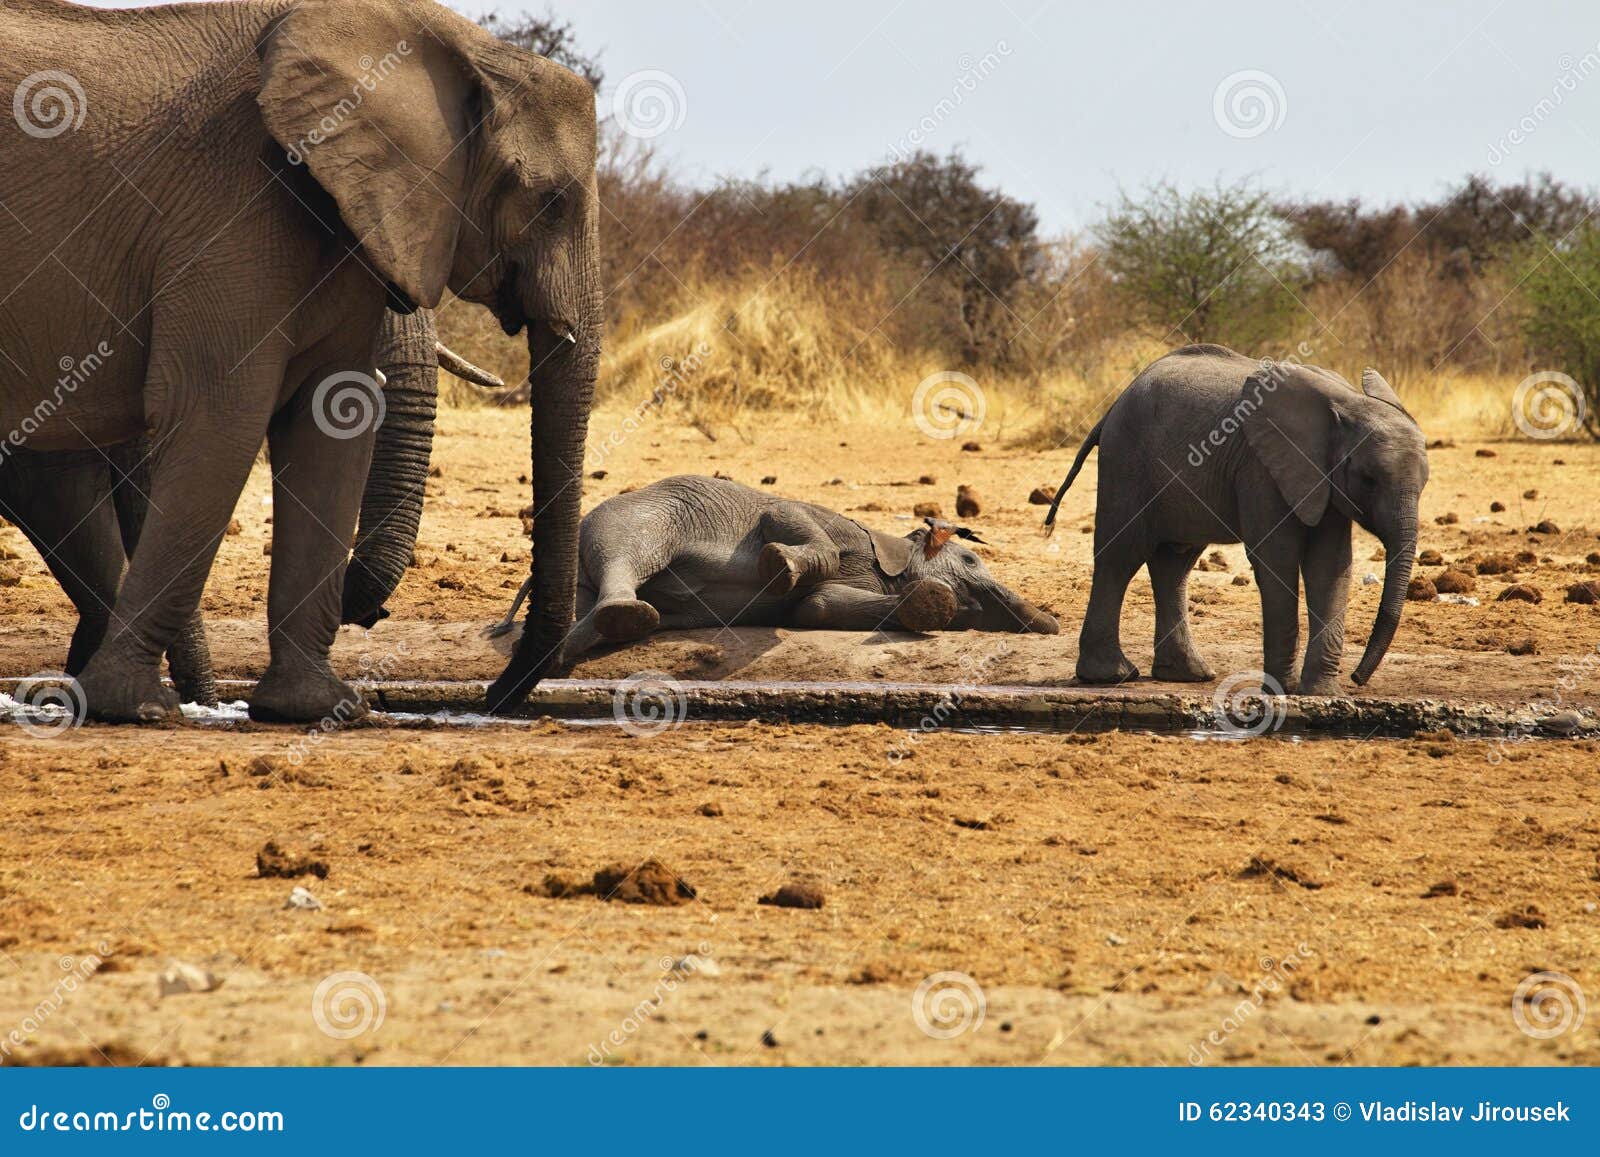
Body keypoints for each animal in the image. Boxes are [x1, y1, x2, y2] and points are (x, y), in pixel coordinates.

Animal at [1, 0, 601, 722]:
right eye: (551, 202)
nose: (494, 696)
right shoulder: (229, 208)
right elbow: (219, 416)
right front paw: (137, 707)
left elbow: (331, 417)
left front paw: (317, 709)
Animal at [488, 475, 1060, 663]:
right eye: (971, 558)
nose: (1052, 622)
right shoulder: (821, 520)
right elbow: (788, 522)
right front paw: (777, 564)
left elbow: (817, 605)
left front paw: (944, 606)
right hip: (635, 515)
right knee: (631, 552)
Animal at [1043, 344, 1428, 696]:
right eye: (1369, 479)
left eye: (1425, 483)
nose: (1358, 678)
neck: (1348, 402)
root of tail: (1113, 405)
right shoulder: (1262, 468)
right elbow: (1277, 558)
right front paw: (1283, 689)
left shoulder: (1324, 480)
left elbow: (1331, 565)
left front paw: (1323, 694)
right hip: (1126, 461)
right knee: (1120, 557)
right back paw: (1112, 676)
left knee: (1174, 565)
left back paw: (1189, 675)